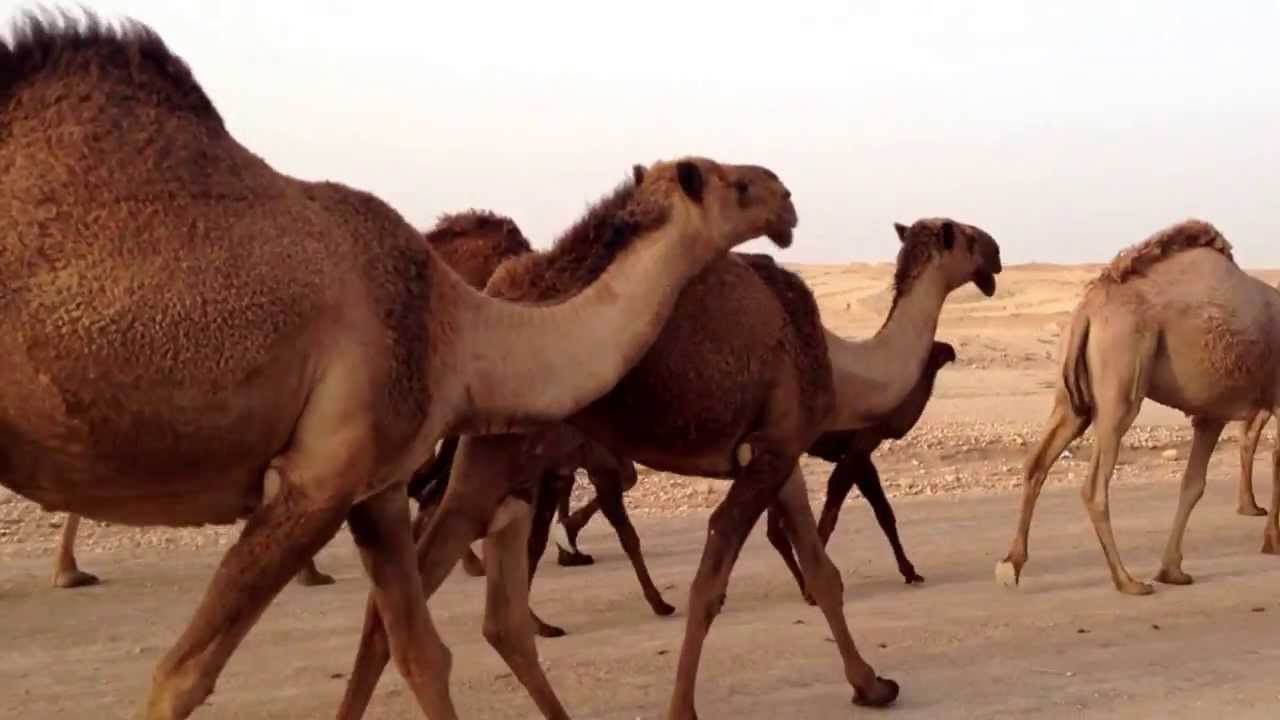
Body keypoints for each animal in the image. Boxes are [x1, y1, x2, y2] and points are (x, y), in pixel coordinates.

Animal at [0, 13, 797, 719]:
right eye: (736, 185)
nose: (786, 198)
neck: (463, 331)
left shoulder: (374, 487)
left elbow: (418, 652)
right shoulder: (316, 478)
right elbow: (180, 677)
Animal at [336, 216, 1002, 719]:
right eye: (968, 237)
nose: (996, 249)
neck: (840, 365)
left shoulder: (780, 456)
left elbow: (823, 573)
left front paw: (872, 685)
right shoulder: (772, 456)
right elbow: (710, 584)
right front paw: (682, 708)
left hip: (501, 452)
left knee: (428, 606)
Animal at [996, 220, 1280, 596]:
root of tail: (1089, 309)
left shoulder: (1210, 415)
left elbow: (1193, 485)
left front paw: (1172, 570)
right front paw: (1272, 541)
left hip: (1071, 397)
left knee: (1036, 463)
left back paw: (1010, 565)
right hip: (1121, 379)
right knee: (1094, 486)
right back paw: (1127, 580)